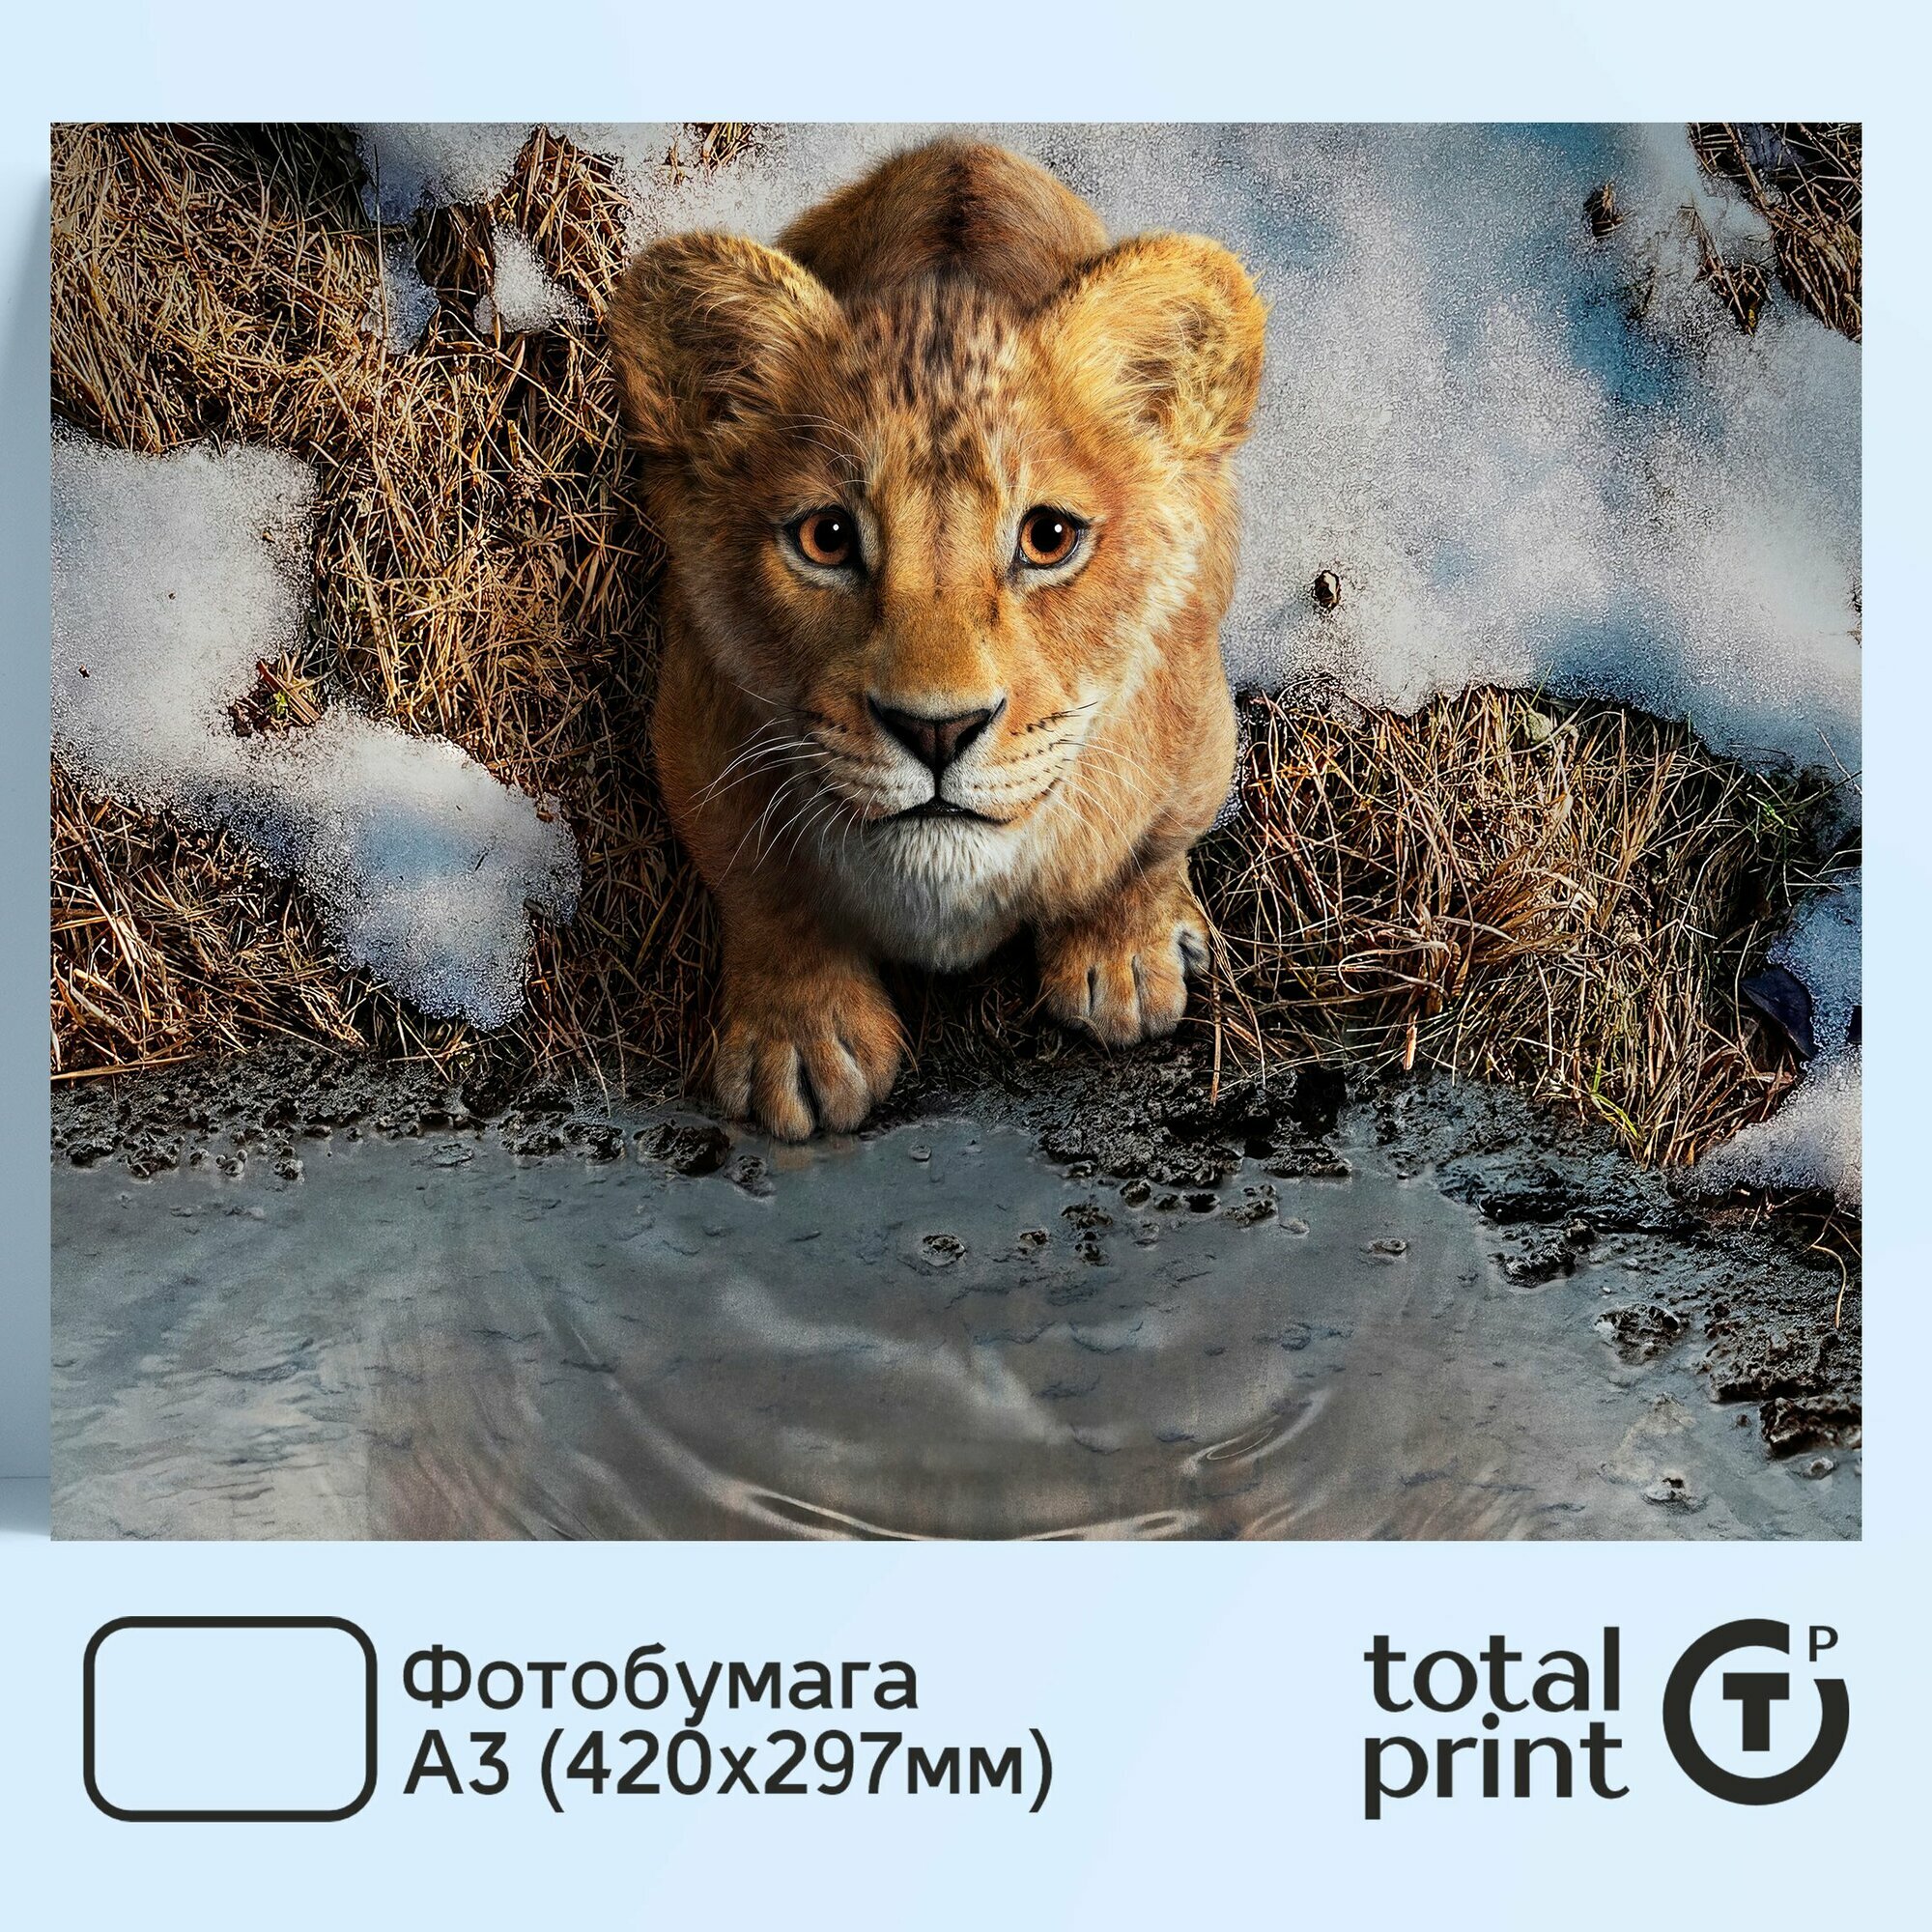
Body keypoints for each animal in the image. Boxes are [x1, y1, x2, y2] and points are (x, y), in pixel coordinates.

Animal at [609, 139, 1267, 1139]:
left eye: (1049, 537)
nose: (937, 731)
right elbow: (762, 886)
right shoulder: (695, 725)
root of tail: (962, 148)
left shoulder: (1197, 727)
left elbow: (1144, 850)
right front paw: (801, 1042)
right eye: (827, 538)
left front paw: (1126, 958)